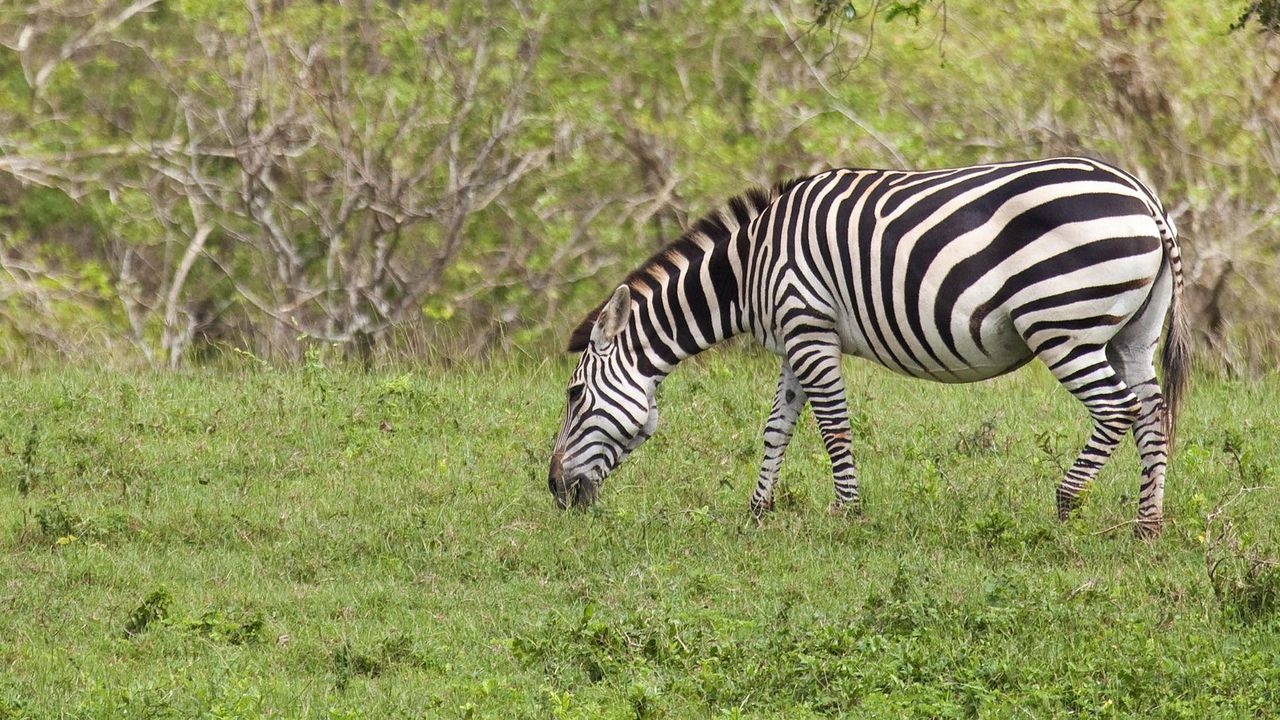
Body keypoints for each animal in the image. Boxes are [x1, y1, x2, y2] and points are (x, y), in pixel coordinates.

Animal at [548, 157, 1190, 537]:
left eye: (574, 395)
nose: (554, 491)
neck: (750, 266)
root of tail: (1147, 200)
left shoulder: (809, 325)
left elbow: (833, 424)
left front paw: (846, 512)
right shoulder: (793, 339)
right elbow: (776, 427)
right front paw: (757, 512)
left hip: (1062, 322)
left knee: (1117, 409)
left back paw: (1066, 503)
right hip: (1132, 332)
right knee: (1152, 411)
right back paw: (1148, 524)